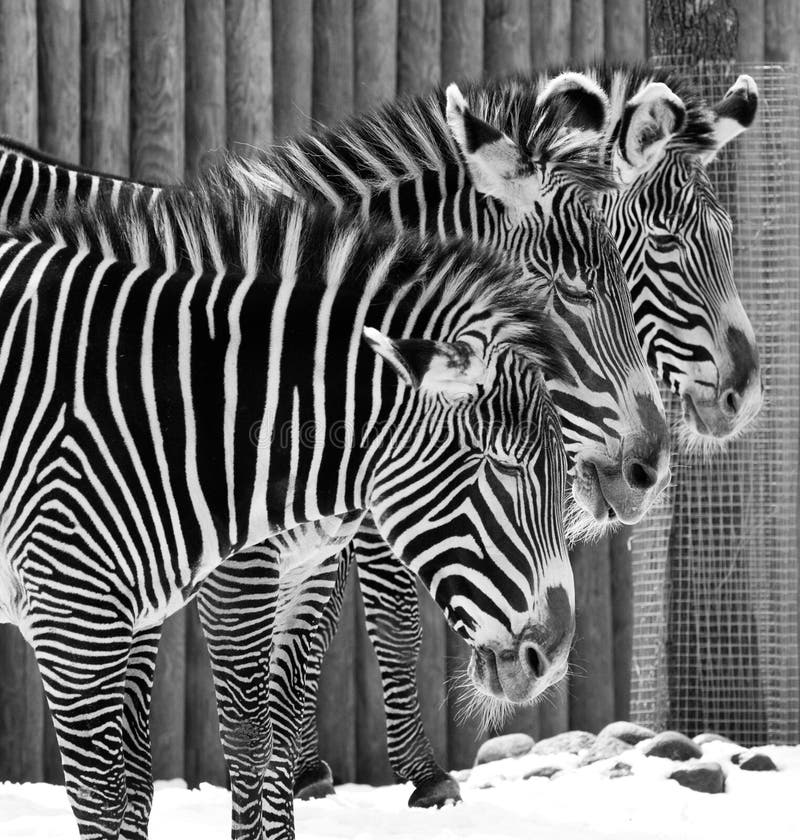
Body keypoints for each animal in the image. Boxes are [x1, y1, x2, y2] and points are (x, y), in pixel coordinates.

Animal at [0, 71, 672, 833]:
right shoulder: (229, 577)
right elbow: (239, 735)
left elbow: (278, 717)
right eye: (571, 292)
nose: (648, 466)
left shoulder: (304, 568)